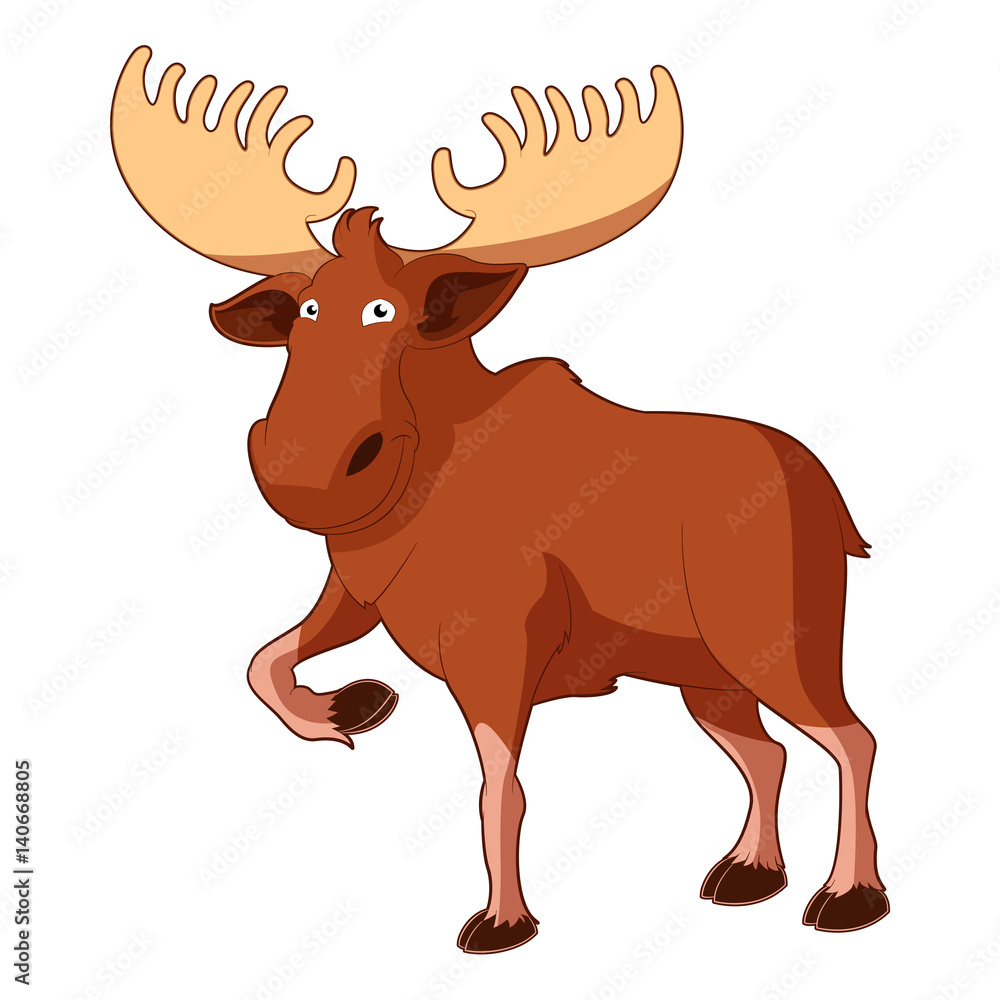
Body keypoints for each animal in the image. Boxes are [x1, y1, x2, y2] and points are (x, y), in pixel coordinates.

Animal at [111, 46, 888, 954]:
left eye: (387, 310)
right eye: (304, 309)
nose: (305, 472)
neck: (411, 503)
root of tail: (831, 499)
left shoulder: (496, 648)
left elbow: (500, 792)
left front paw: (504, 918)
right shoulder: (357, 596)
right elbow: (264, 663)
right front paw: (352, 705)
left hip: (773, 641)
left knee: (851, 738)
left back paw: (850, 894)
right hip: (706, 674)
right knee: (768, 754)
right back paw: (751, 871)